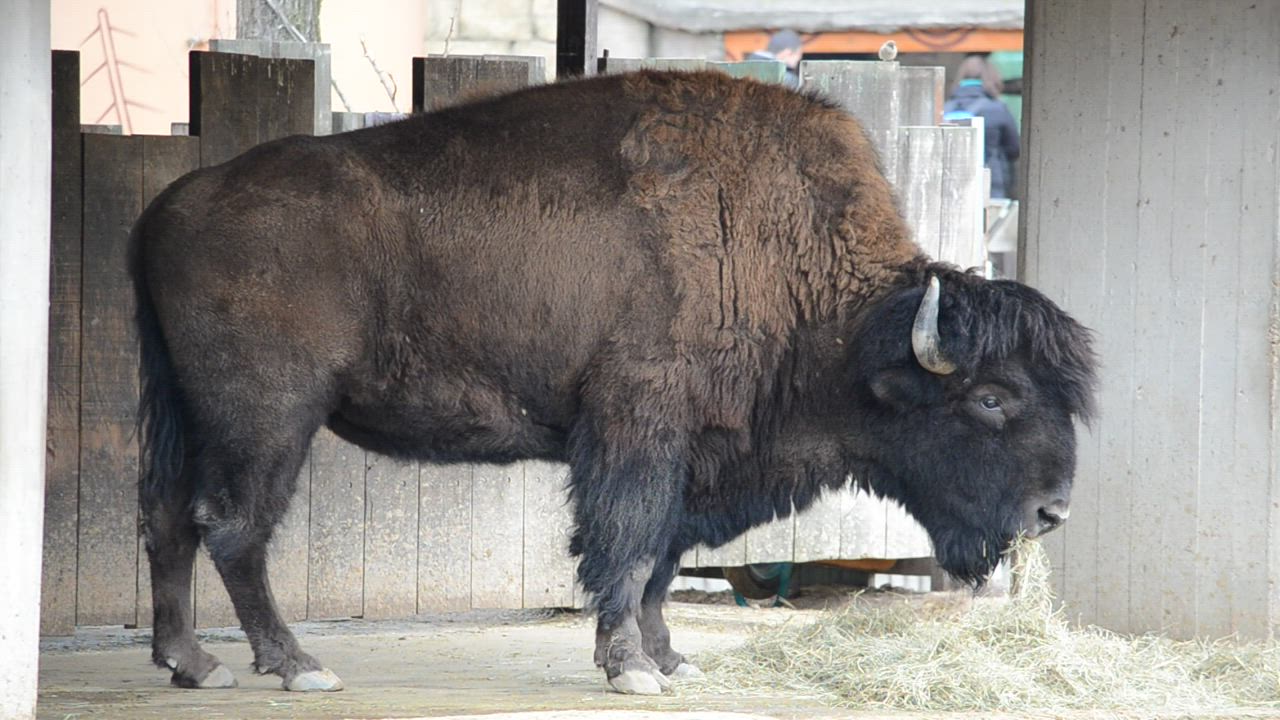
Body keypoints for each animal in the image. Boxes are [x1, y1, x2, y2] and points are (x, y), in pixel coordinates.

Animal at [131, 69, 1097, 695]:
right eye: (992, 397)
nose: (1053, 512)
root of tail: (173, 202)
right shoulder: (639, 427)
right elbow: (628, 546)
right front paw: (631, 667)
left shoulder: (694, 453)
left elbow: (663, 556)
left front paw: (670, 658)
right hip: (269, 417)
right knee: (234, 527)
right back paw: (296, 666)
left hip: (185, 412)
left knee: (168, 519)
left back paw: (193, 664)